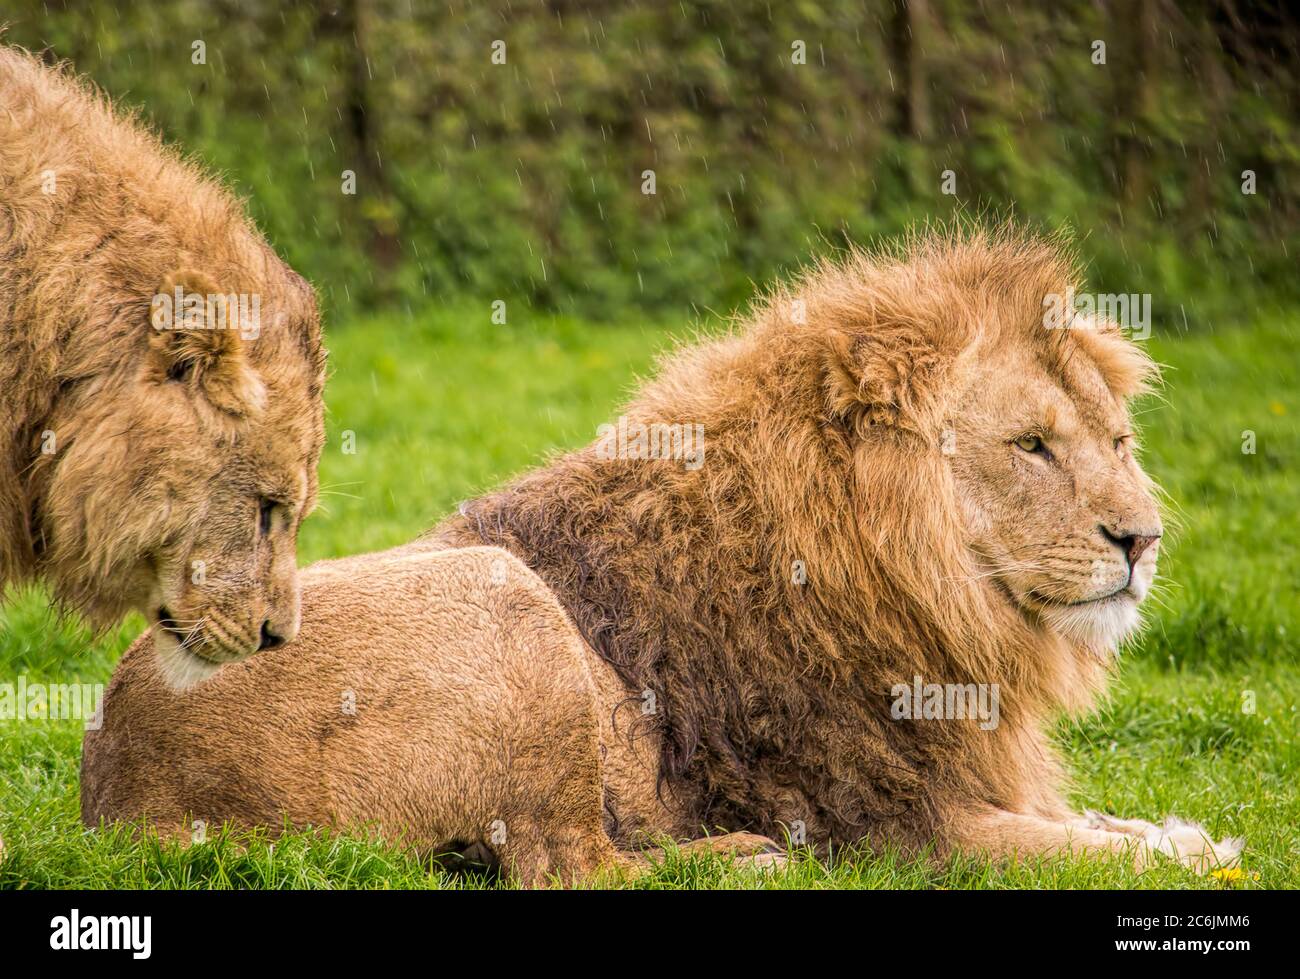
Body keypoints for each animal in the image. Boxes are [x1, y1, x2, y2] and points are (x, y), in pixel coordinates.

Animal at [81, 229, 1241, 882]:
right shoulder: (893, 824)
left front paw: (1180, 831)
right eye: (1032, 445)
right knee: (566, 867)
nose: (1141, 539)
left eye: (1119, 443)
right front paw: (1199, 852)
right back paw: (747, 861)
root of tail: (116, 790)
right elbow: (1084, 851)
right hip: (509, 598)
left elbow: (1099, 822)